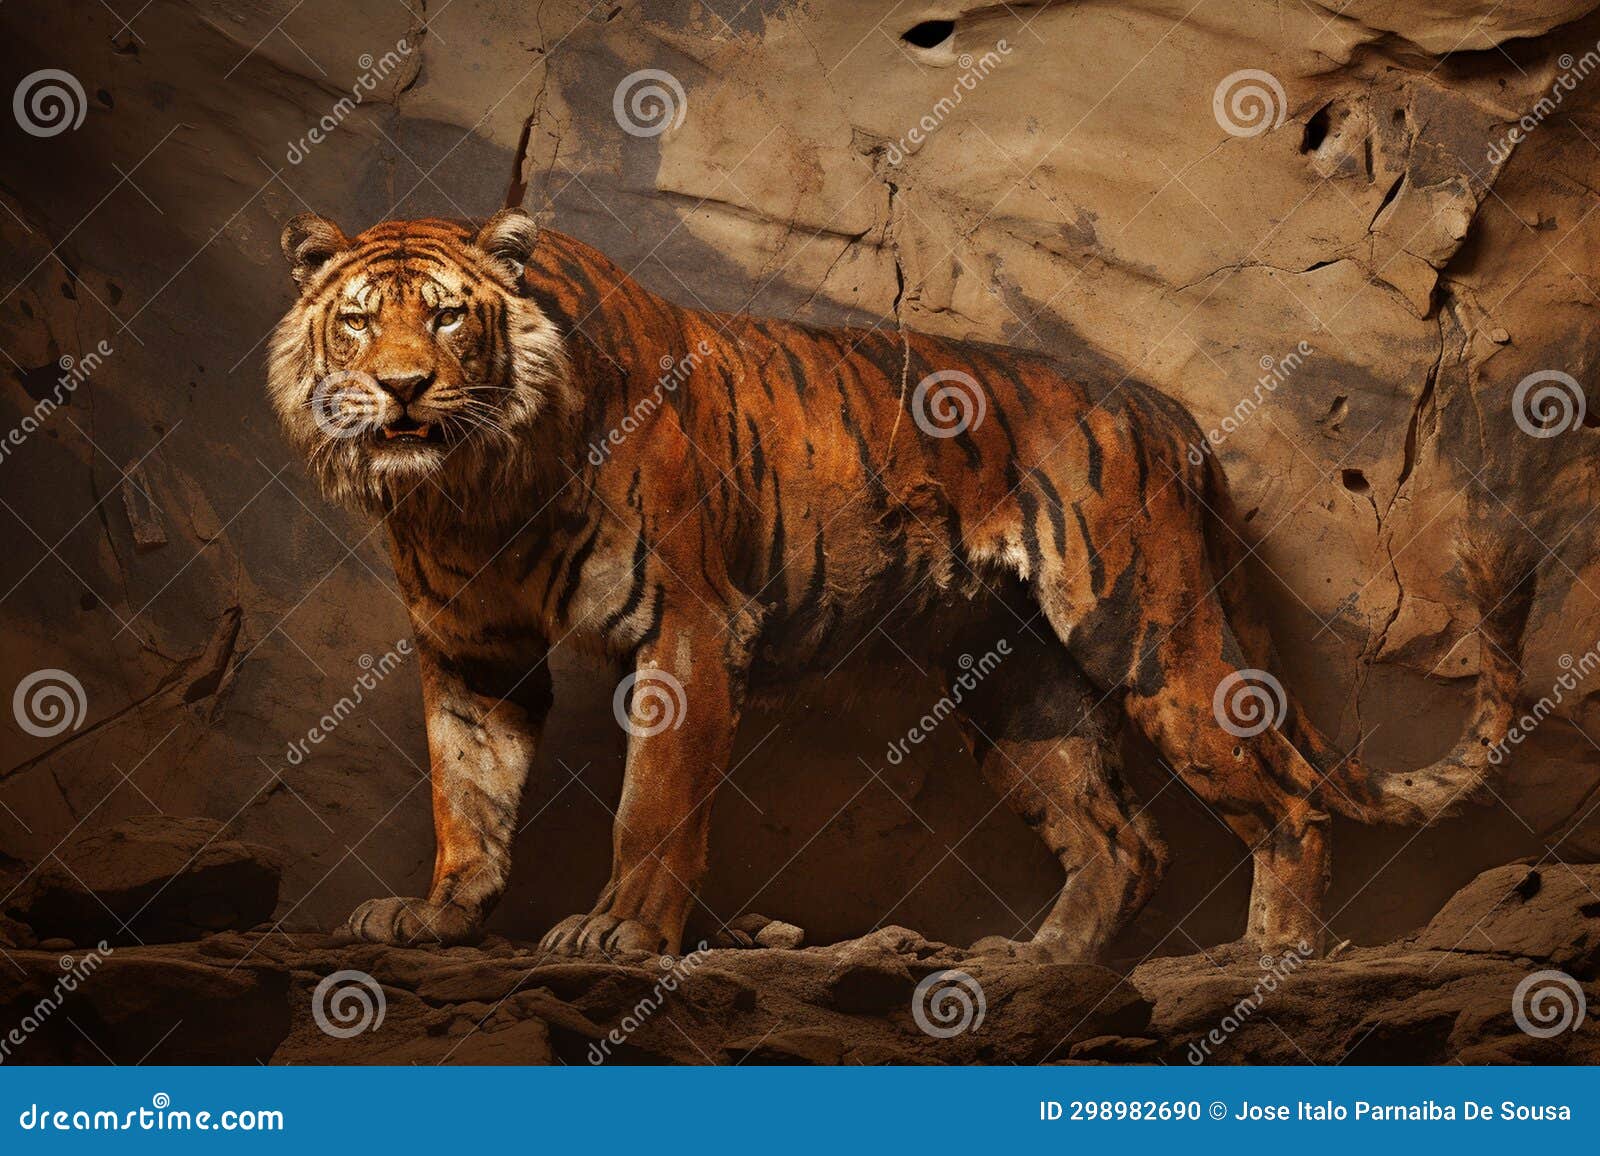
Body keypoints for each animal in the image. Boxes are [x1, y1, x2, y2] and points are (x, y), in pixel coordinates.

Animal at [267, 207, 1535, 961]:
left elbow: (654, 805)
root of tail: (1163, 411)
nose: (402, 389)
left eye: (447, 317)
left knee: (1284, 803)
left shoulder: (688, 626)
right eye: (357, 322)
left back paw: (1268, 953)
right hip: (1021, 691)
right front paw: (438, 914)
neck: (472, 485)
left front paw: (619, 932)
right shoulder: (472, 652)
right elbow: (466, 794)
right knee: (1122, 844)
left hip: (1145, 630)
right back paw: (1036, 963)